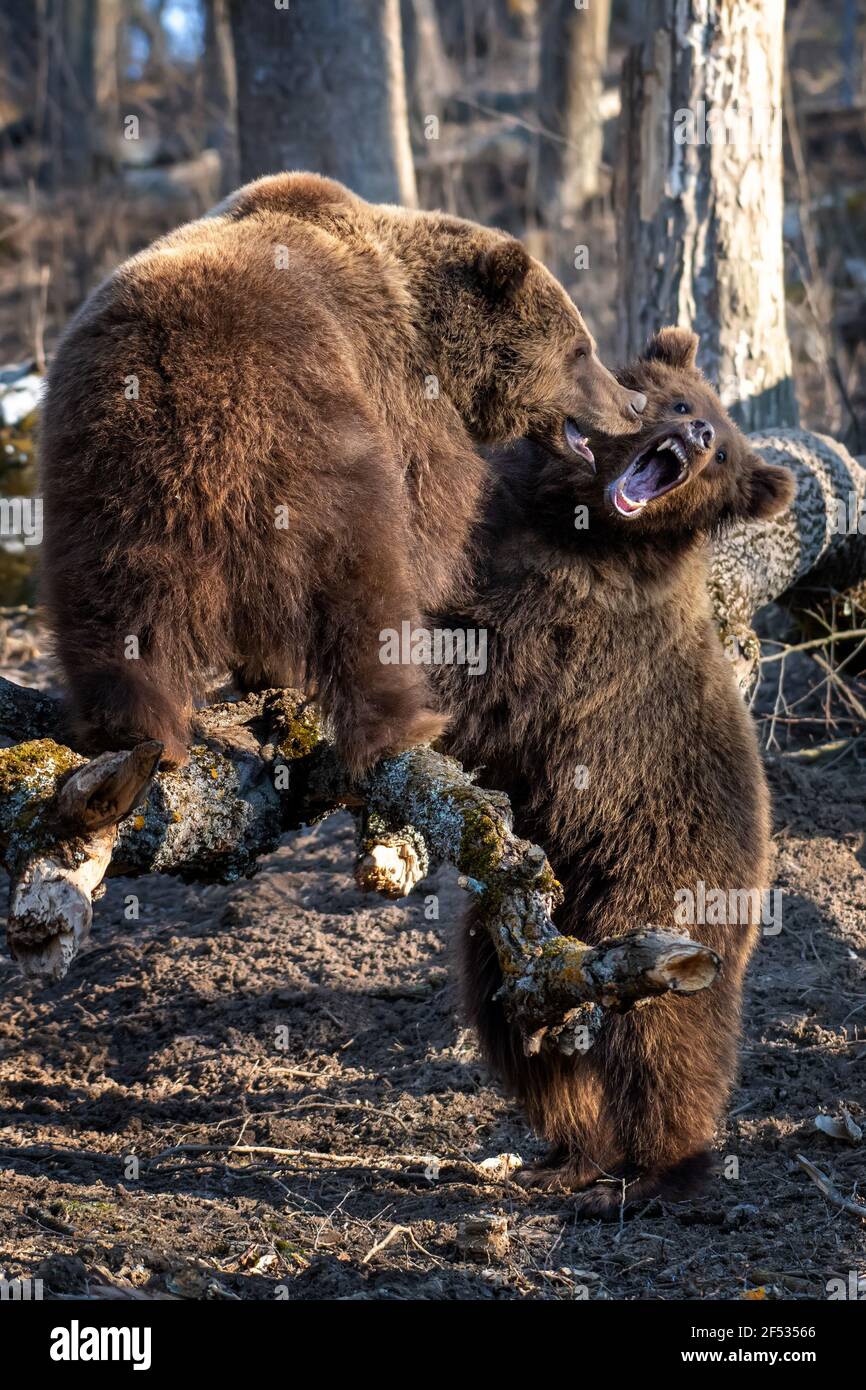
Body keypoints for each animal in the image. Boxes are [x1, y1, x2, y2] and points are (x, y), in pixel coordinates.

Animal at [38, 172, 646, 774]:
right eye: (580, 349)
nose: (633, 403)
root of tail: (178, 384)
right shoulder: (397, 393)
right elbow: (426, 517)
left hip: (104, 477)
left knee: (114, 605)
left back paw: (132, 730)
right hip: (305, 443)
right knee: (357, 579)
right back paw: (405, 725)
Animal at [430, 326, 794, 1215]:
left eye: (724, 456)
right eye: (683, 400)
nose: (697, 435)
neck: (583, 527)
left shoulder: (583, 639)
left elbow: (492, 678)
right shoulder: (500, 527)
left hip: (661, 887)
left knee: (661, 1039)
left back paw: (664, 1167)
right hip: (527, 918)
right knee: (514, 1020)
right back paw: (569, 1155)